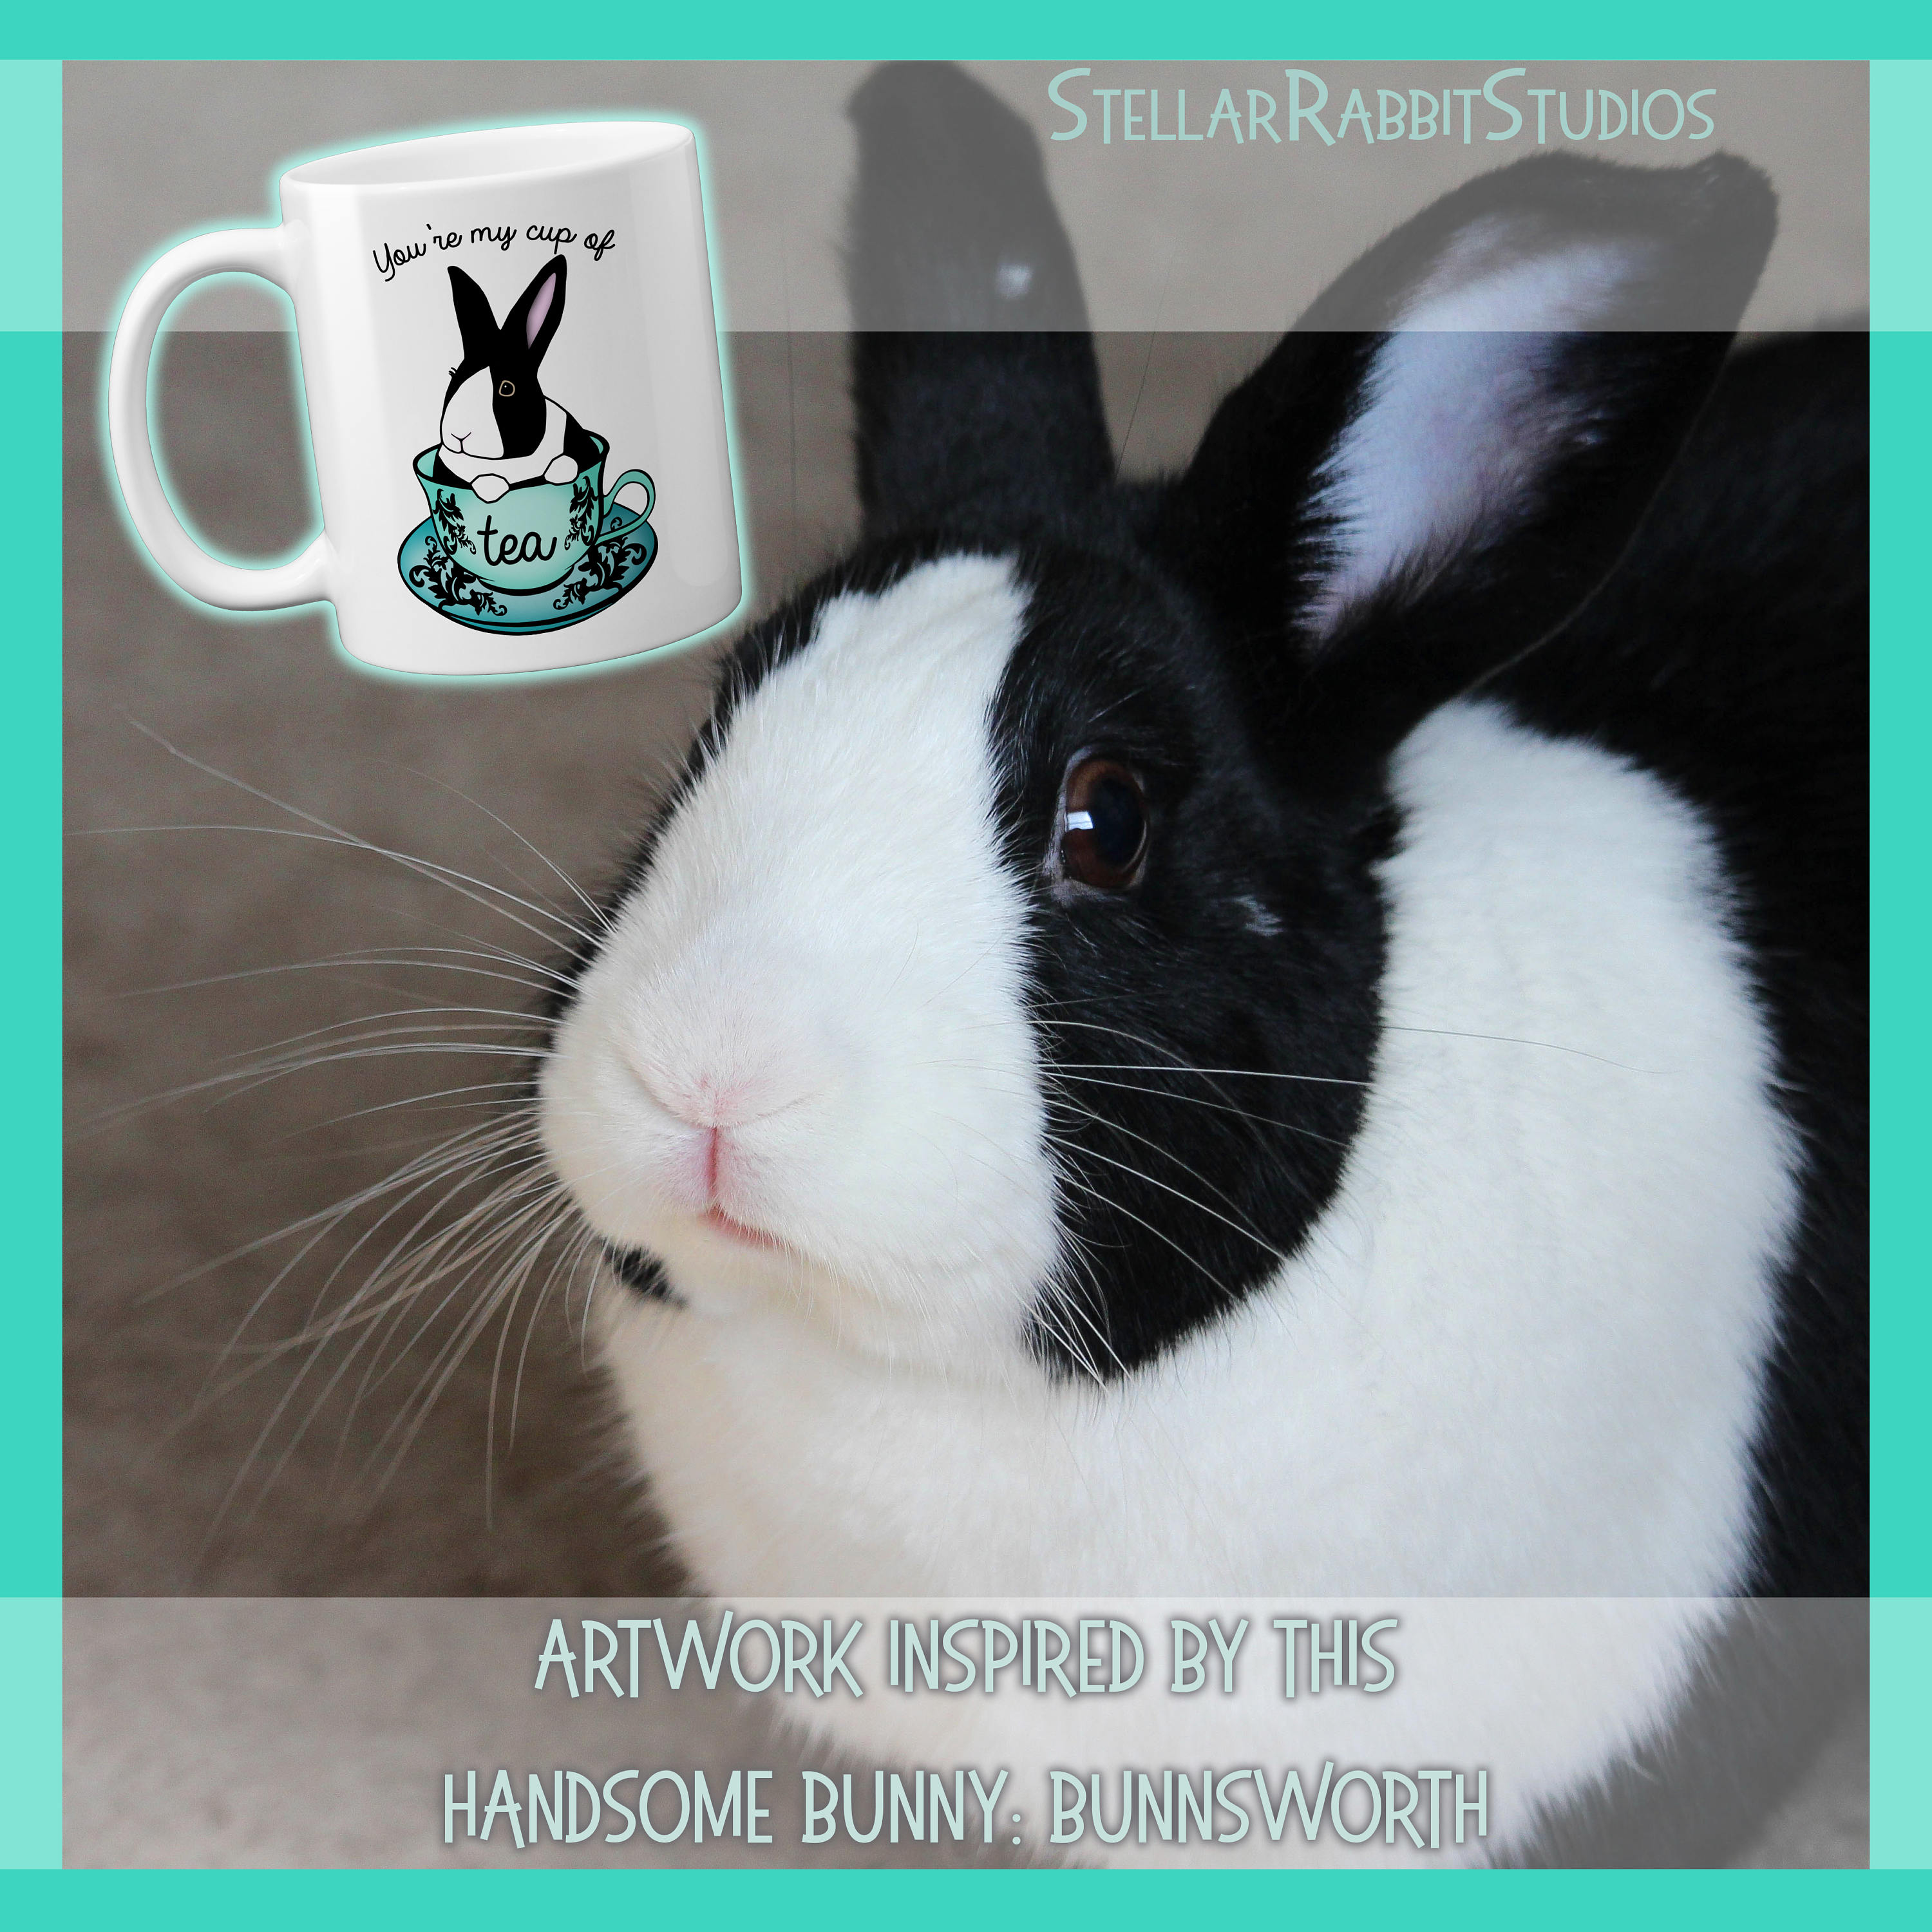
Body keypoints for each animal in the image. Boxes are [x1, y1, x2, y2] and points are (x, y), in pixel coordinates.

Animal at [433, 254, 599, 503]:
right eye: (454, 376)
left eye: (507, 388)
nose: (459, 434)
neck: (510, 463)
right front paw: (491, 485)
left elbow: (572, 460)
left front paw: (560, 469)